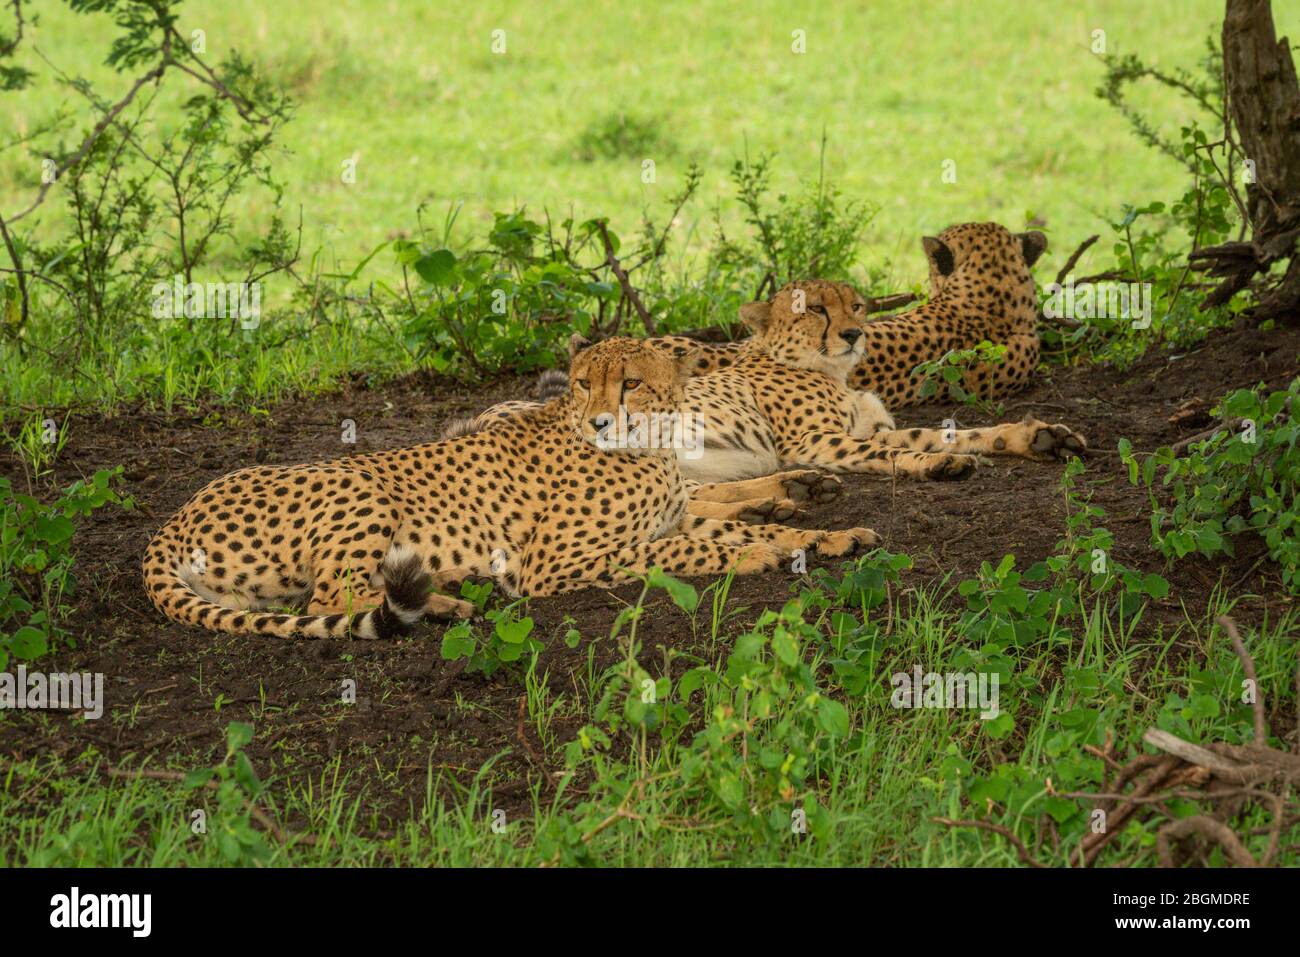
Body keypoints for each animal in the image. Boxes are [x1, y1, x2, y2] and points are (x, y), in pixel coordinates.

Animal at [142, 337, 878, 640]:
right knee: (329, 598)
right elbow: (689, 552)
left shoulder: (675, 516)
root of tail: (173, 519)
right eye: (583, 383)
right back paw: (444, 604)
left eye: (630, 382)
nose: (601, 417)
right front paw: (766, 552)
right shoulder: (554, 564)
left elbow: (730, 526)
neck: (647, 446)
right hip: (357, 483)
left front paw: (828, 535)